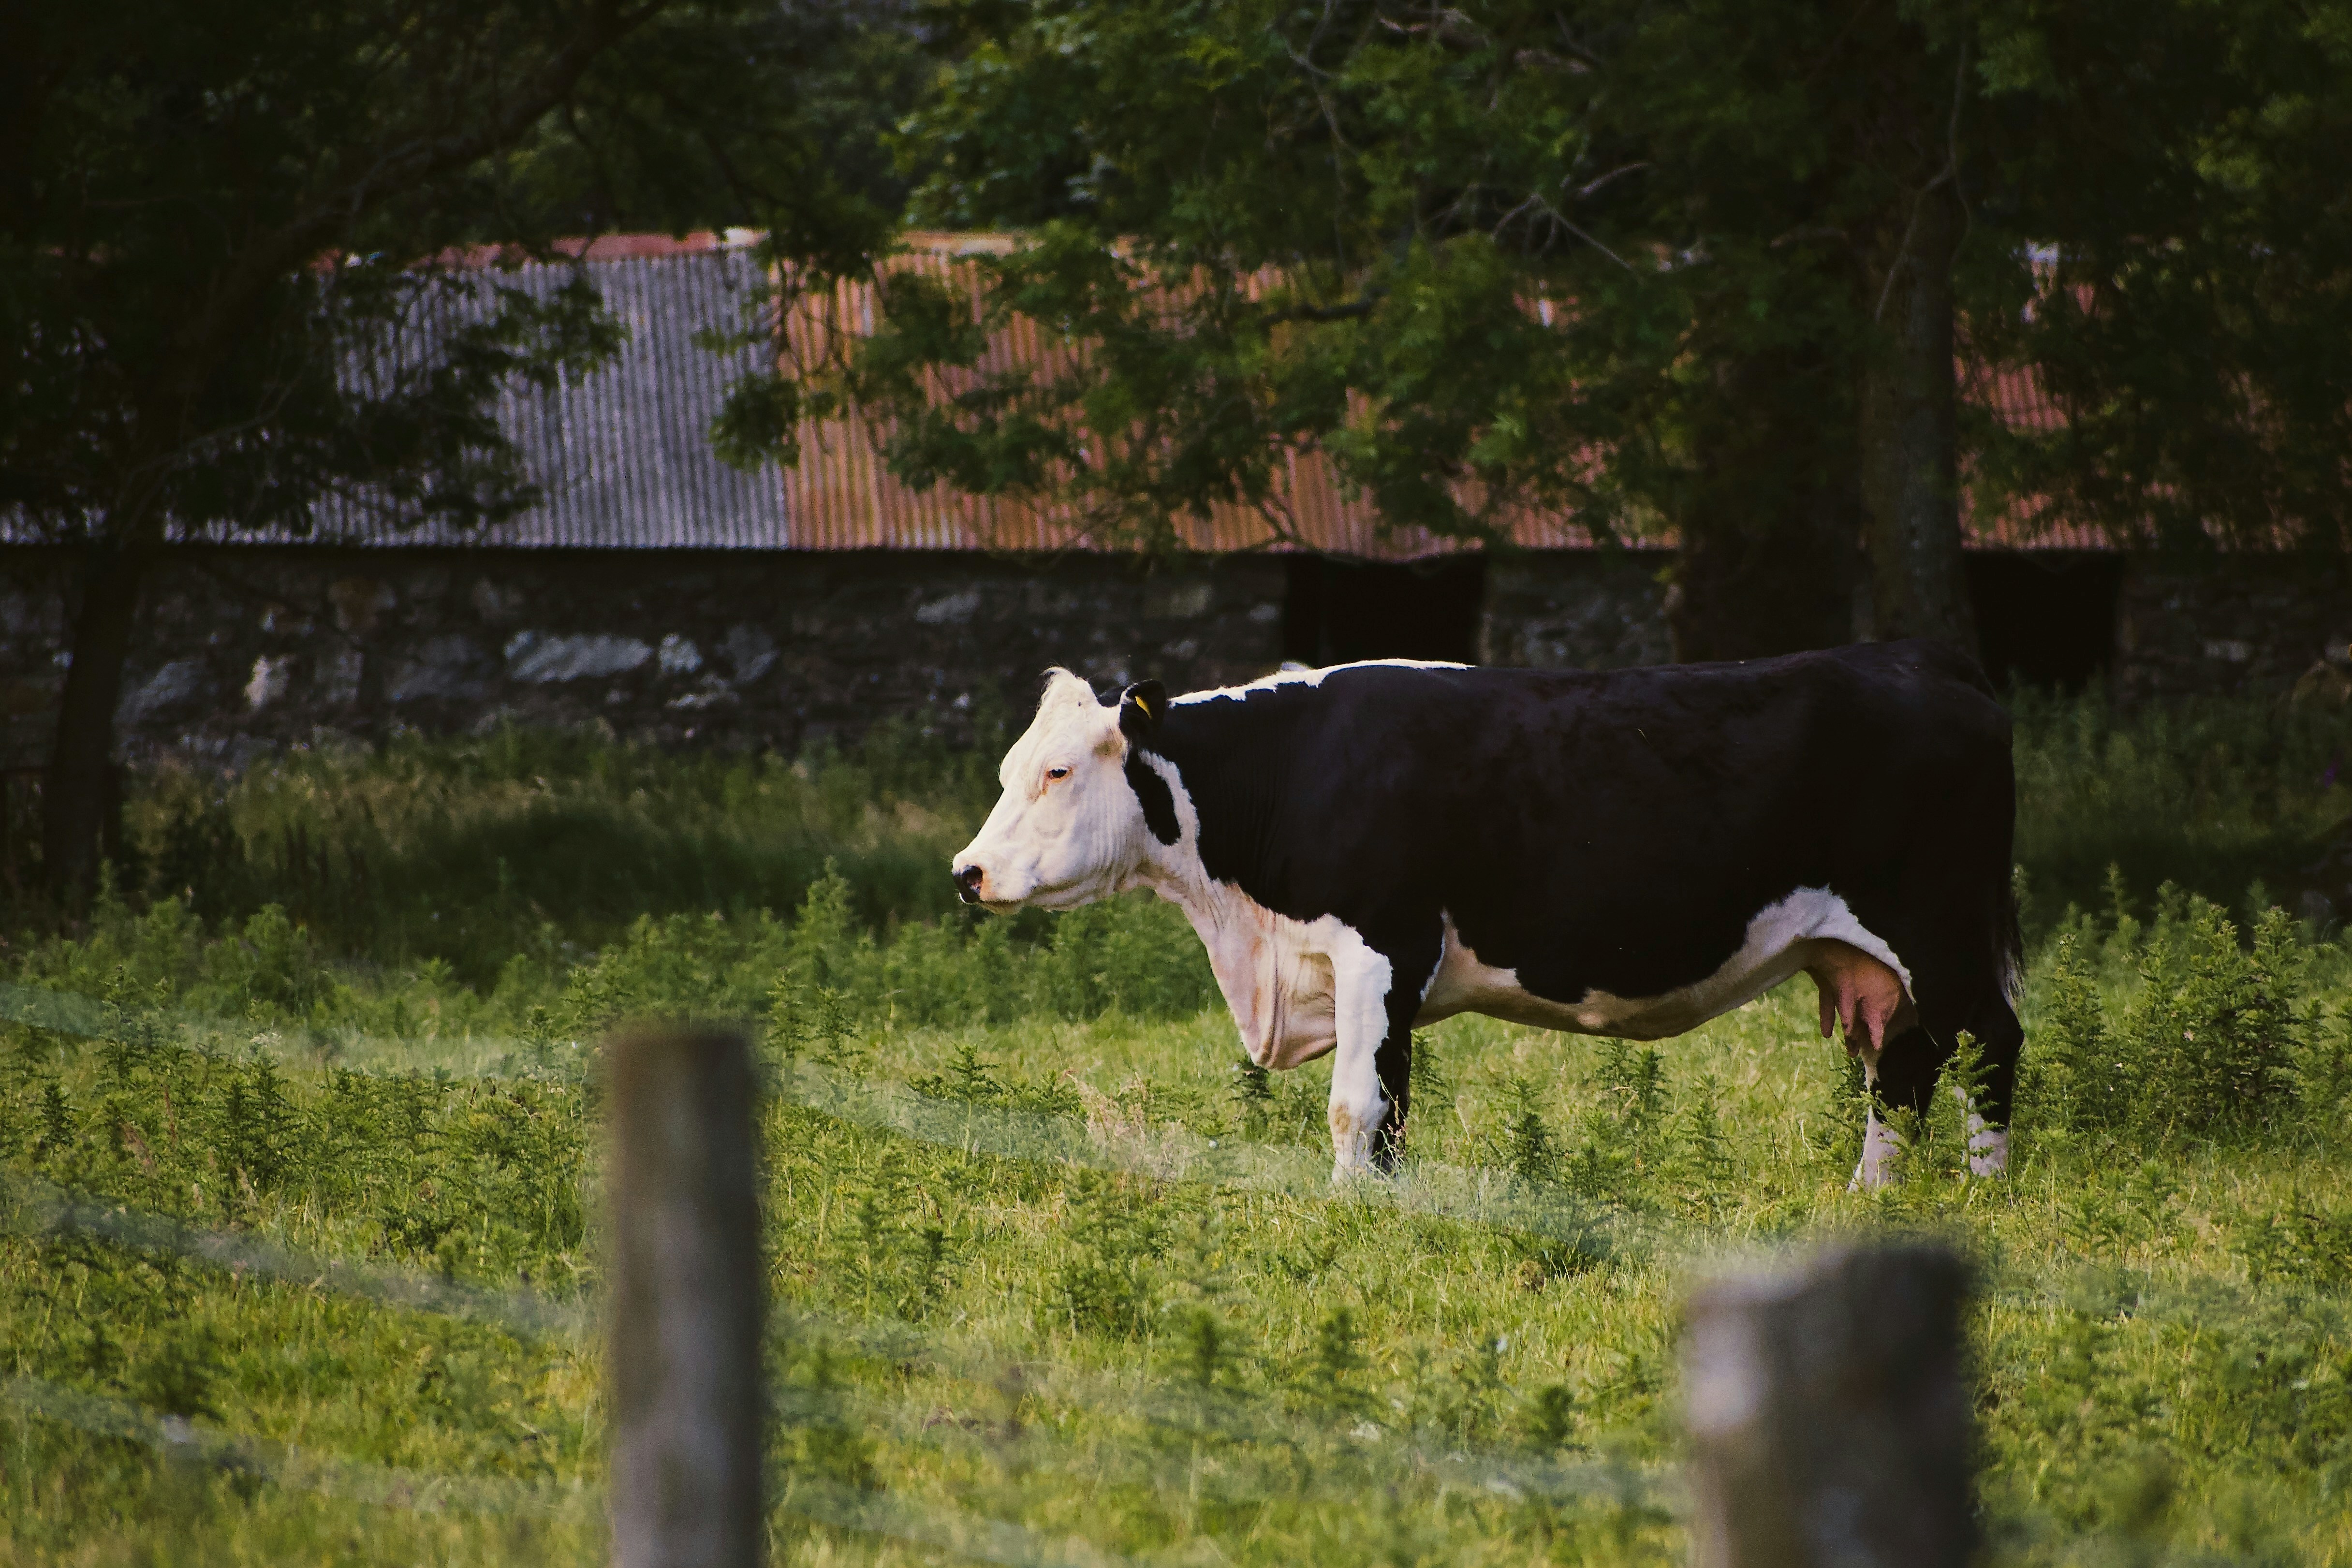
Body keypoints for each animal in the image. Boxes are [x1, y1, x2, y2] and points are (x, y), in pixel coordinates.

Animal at [950, 641, 2023, 1190]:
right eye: (1008, 768)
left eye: (1057, 771)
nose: (967, 872)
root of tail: (1939, 676)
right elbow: (1388, 1106)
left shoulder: (1381, 944)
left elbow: (1355, 1104)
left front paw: (1348, 1213)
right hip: (1870, 957)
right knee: (1901, 1069)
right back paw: (1868, 1203)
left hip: (1940, 929)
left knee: (1987, 1046)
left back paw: (1983, 1195)